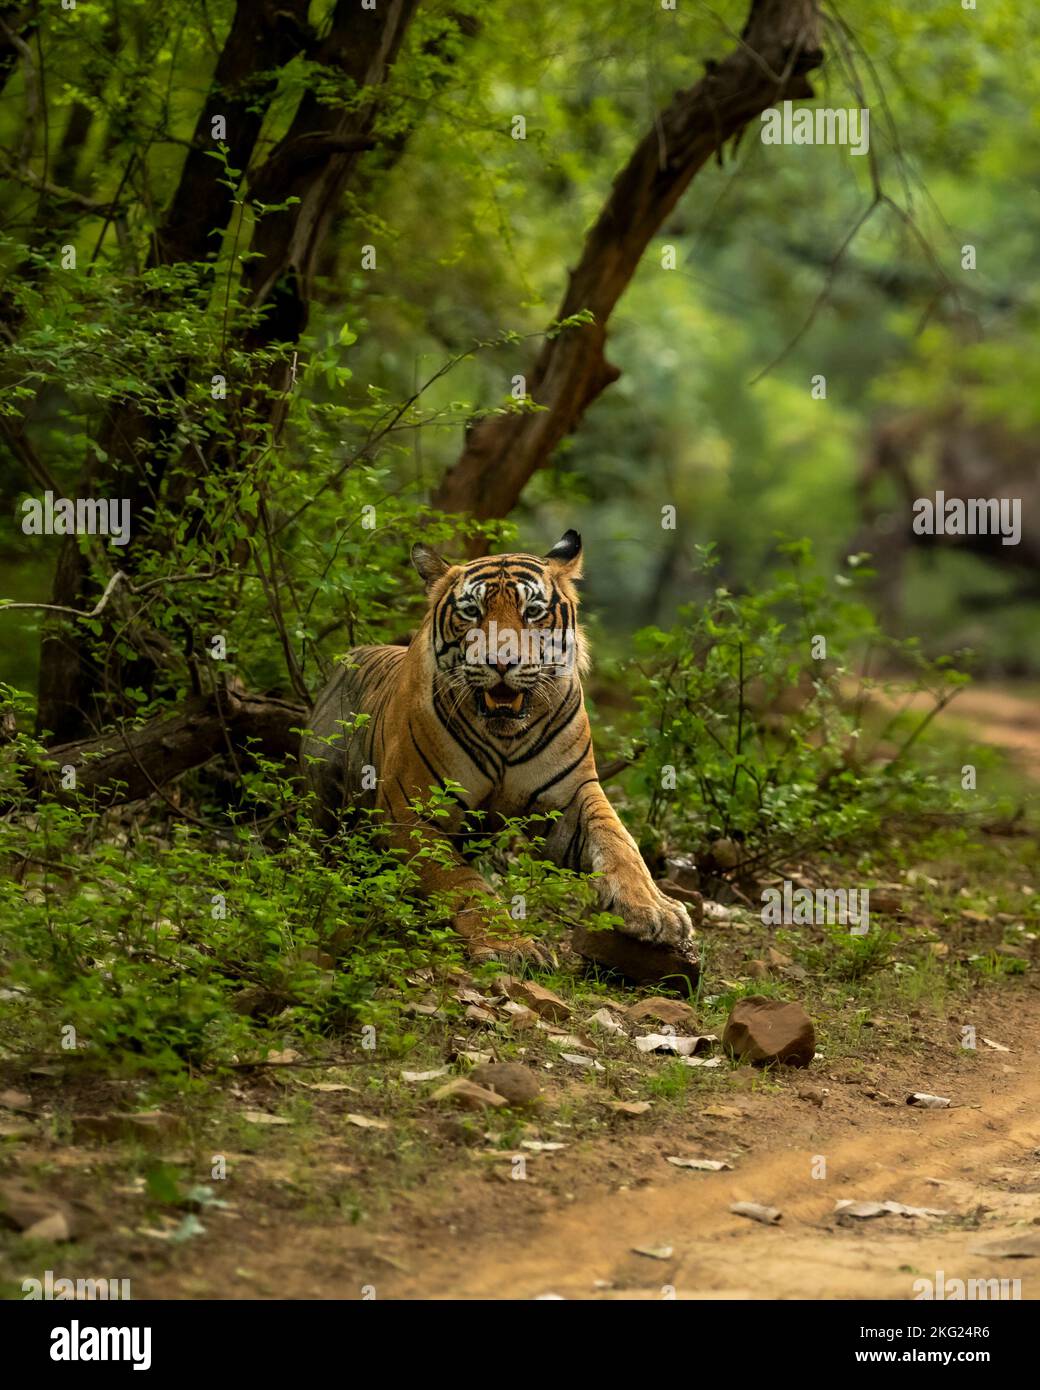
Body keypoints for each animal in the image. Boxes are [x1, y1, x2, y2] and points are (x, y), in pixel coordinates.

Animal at [302, 530, 694, 966]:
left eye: (533, 611)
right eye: (471, 611)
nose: (501, 661)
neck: (505, 734)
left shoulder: (573, 794)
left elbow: (618, 841)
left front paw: (655, 909)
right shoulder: (410, 810)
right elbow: (462, 882)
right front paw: (511, 945)